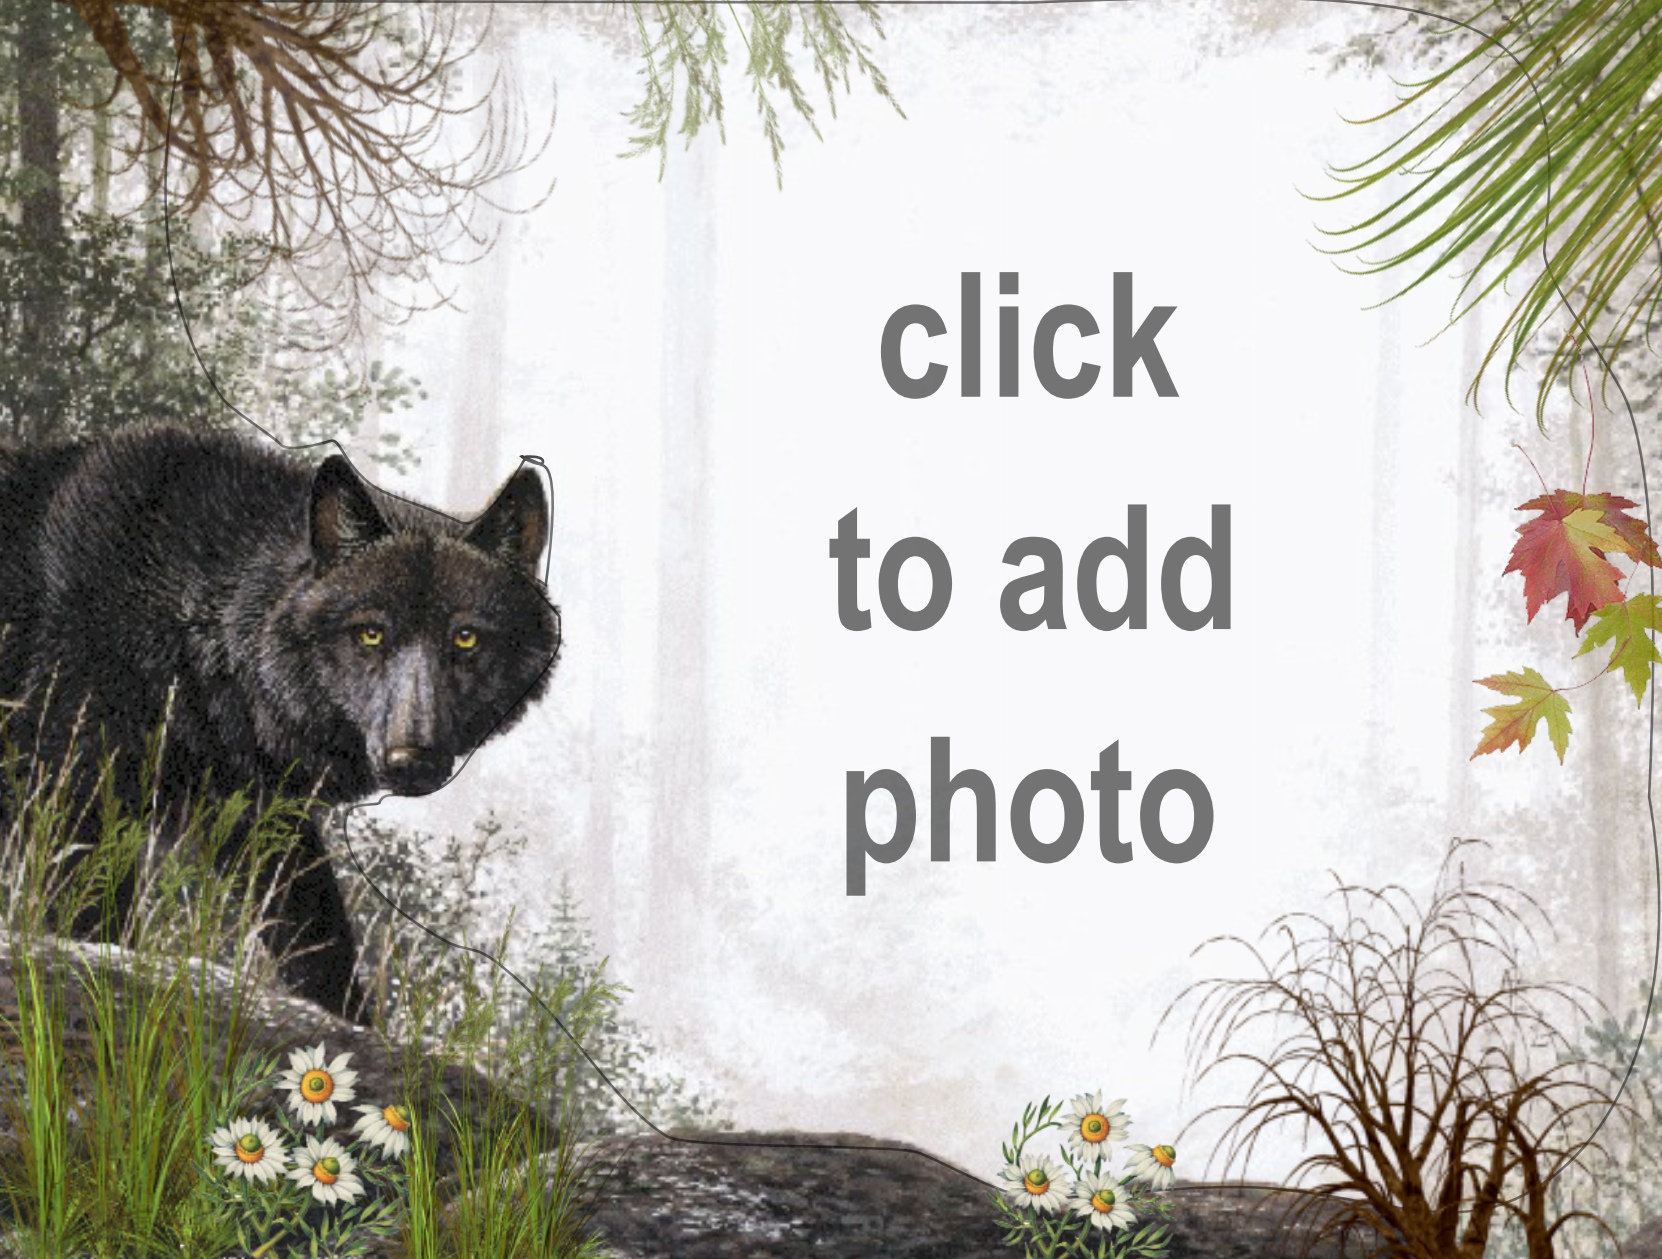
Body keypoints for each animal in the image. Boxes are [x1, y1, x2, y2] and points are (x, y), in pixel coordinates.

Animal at [0, 421, 560, 1017]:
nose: (413, 759)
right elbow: (98, 944)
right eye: (371, 634)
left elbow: (323, 950)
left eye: (466, 638)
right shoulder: (74, 804)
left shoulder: (266, 818)